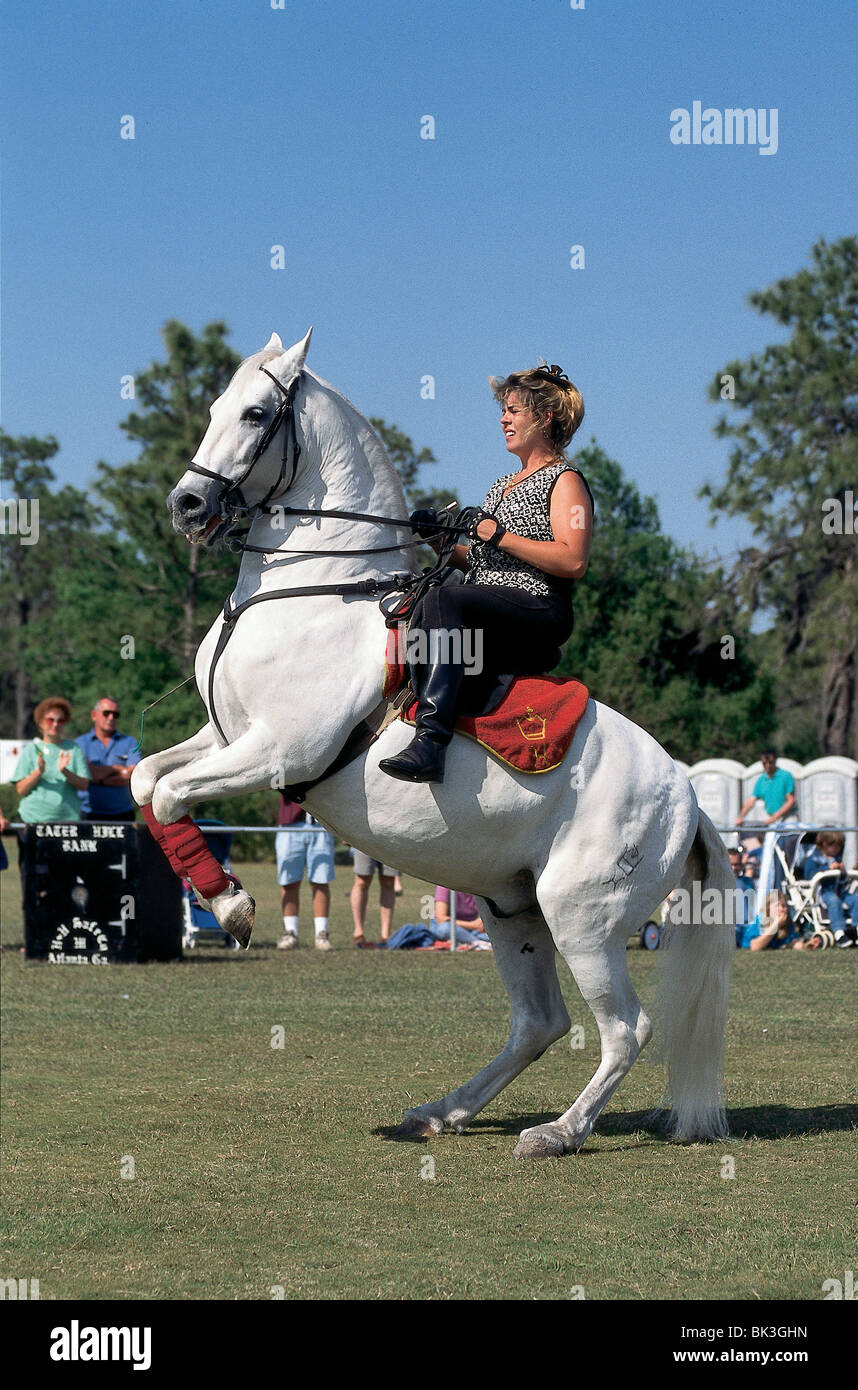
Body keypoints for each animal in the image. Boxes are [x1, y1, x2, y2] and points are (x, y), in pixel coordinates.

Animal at [131, 329, 734, 1158]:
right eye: (218, 406)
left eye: (256, 414)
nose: (187, 505)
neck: (309, 592)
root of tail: (686, 796)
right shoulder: (223, 736)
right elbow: (145, 780)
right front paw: (223, 898)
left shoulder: (280, 750)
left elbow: (166, 793)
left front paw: (231, 908)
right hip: (513, 908)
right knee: (540, 1023)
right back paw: (441, 1112)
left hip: (582, 915)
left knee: (624, 1029)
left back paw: (557, 1132)